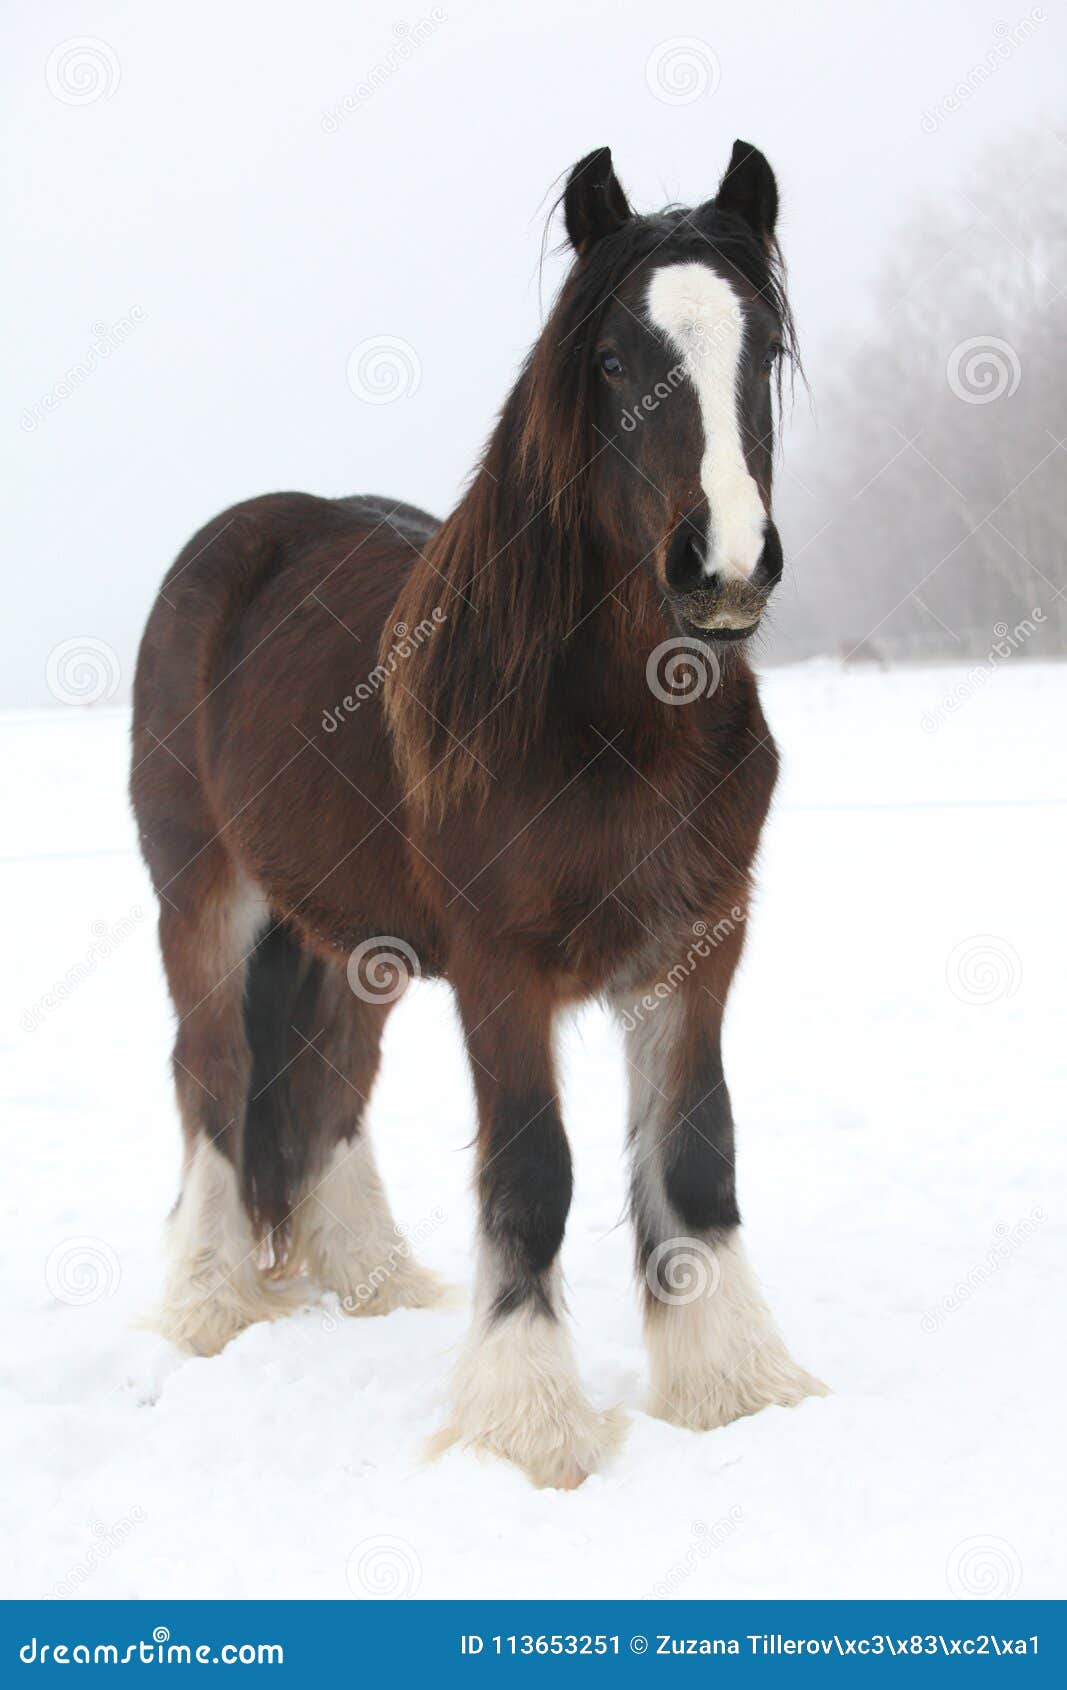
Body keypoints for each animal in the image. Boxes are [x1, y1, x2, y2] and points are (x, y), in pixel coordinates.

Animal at [130, 139, 826, 1489]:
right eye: (610, 359)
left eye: (759, 346)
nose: (720, 565)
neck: (614, 724)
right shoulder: (505, 971)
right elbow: (533, 1176)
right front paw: (531, 1425)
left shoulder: (699, 949)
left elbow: (695, 1156)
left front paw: (731, 1389)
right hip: (202, 899)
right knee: (213, 1072)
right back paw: (204, 1304)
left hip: (352, 939)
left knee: (327, 1081)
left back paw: (372, 1279)